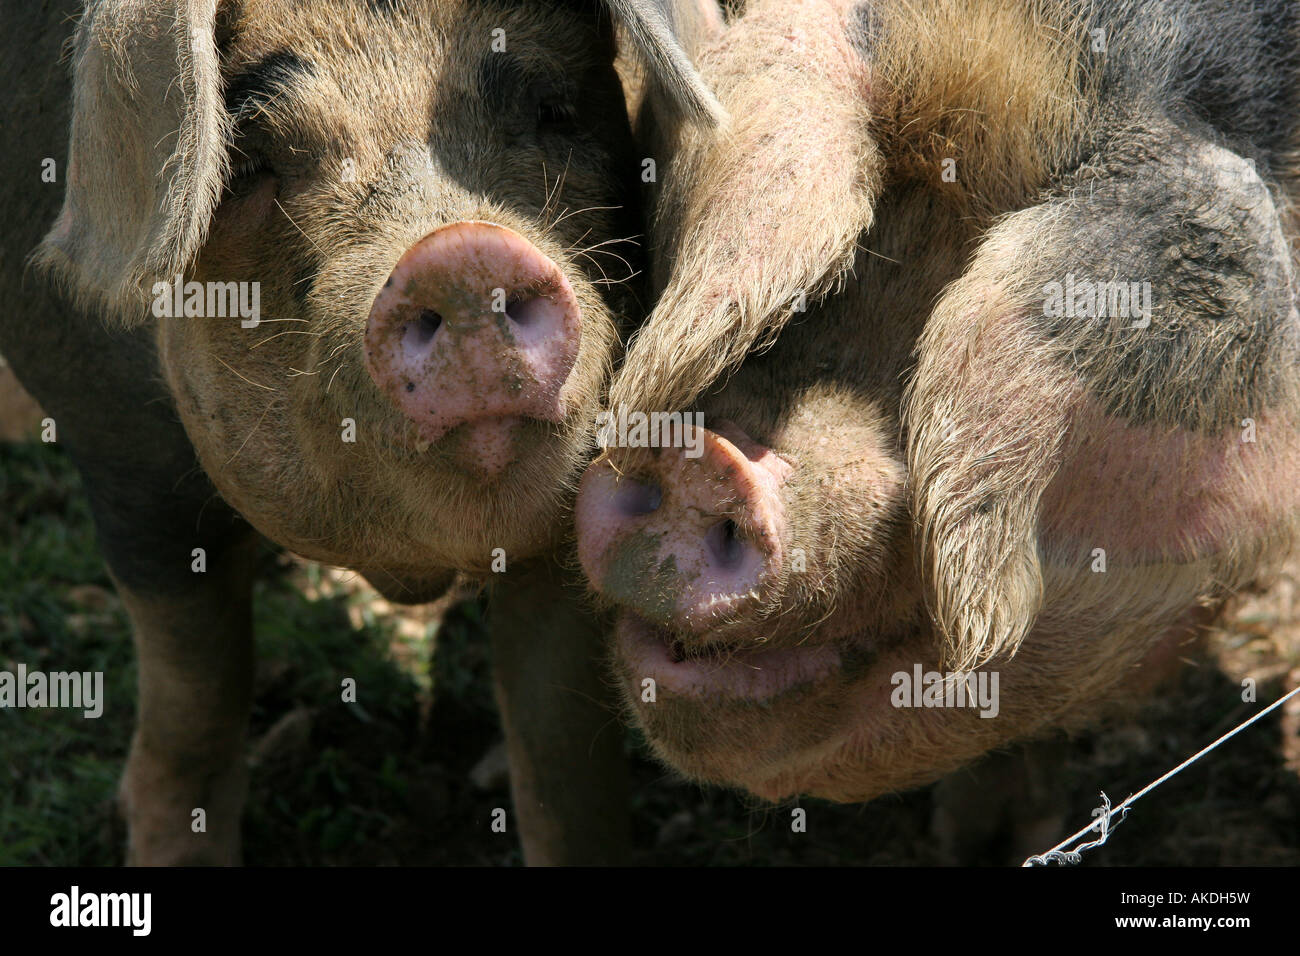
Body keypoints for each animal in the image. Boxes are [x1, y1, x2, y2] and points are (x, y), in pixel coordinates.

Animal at [0, 0, 717, 865]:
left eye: (552, 109)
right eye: (251, 158)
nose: (462, 253)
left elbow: (559, 758)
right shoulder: (118, 452)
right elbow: (197, 693)